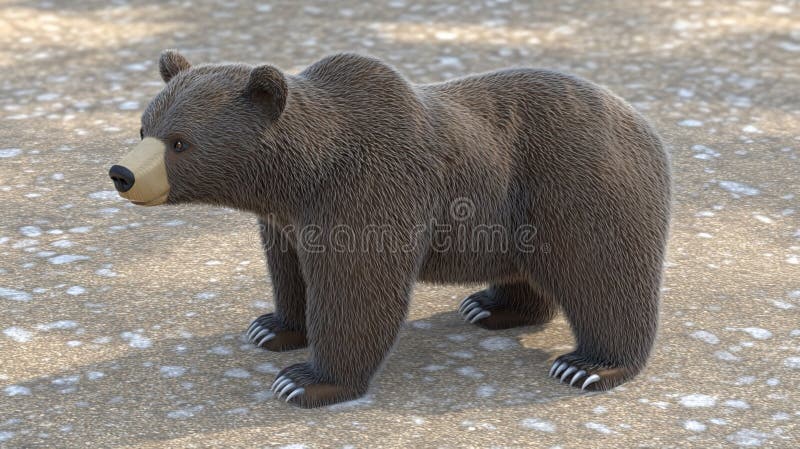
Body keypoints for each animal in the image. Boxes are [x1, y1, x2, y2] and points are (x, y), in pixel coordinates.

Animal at [109, 50, 671, 408]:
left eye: (180, 143)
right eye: (144, 127)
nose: (122, 174)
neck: (305, 173)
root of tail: (641, 120)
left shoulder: (369, 190)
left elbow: (358, 289)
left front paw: (304, 381)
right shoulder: (286, 218)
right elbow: (289, 271)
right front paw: (273, 327)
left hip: (579, 184)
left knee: (602, 274)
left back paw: (590, 365)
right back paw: (490, 306)